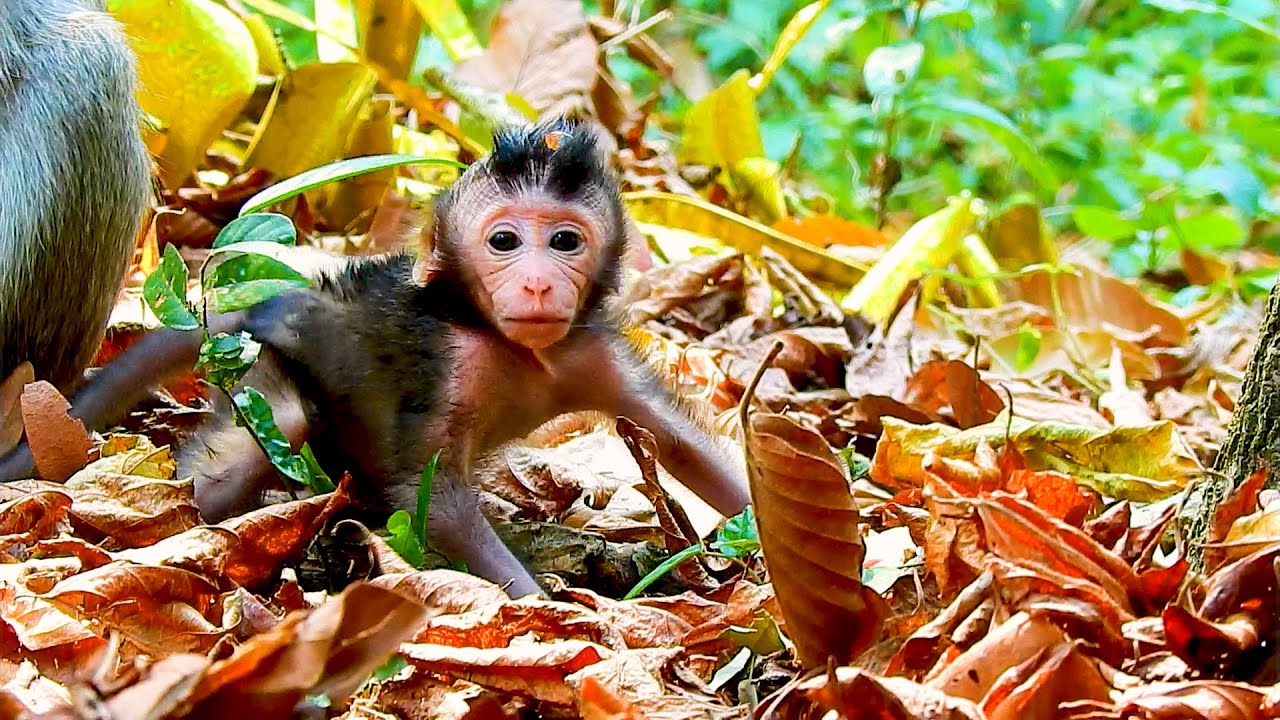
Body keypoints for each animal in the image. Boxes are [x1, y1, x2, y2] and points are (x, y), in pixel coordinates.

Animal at [0, 119, 750, 598]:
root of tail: (282, 303)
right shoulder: (447, 363)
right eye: (505, 241)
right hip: (269, 373)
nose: (539, 285)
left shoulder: (585, 349)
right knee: (263, 437)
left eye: (565, 241)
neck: (502, 340)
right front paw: (548, 610)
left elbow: (681, 445)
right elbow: (433, 499)